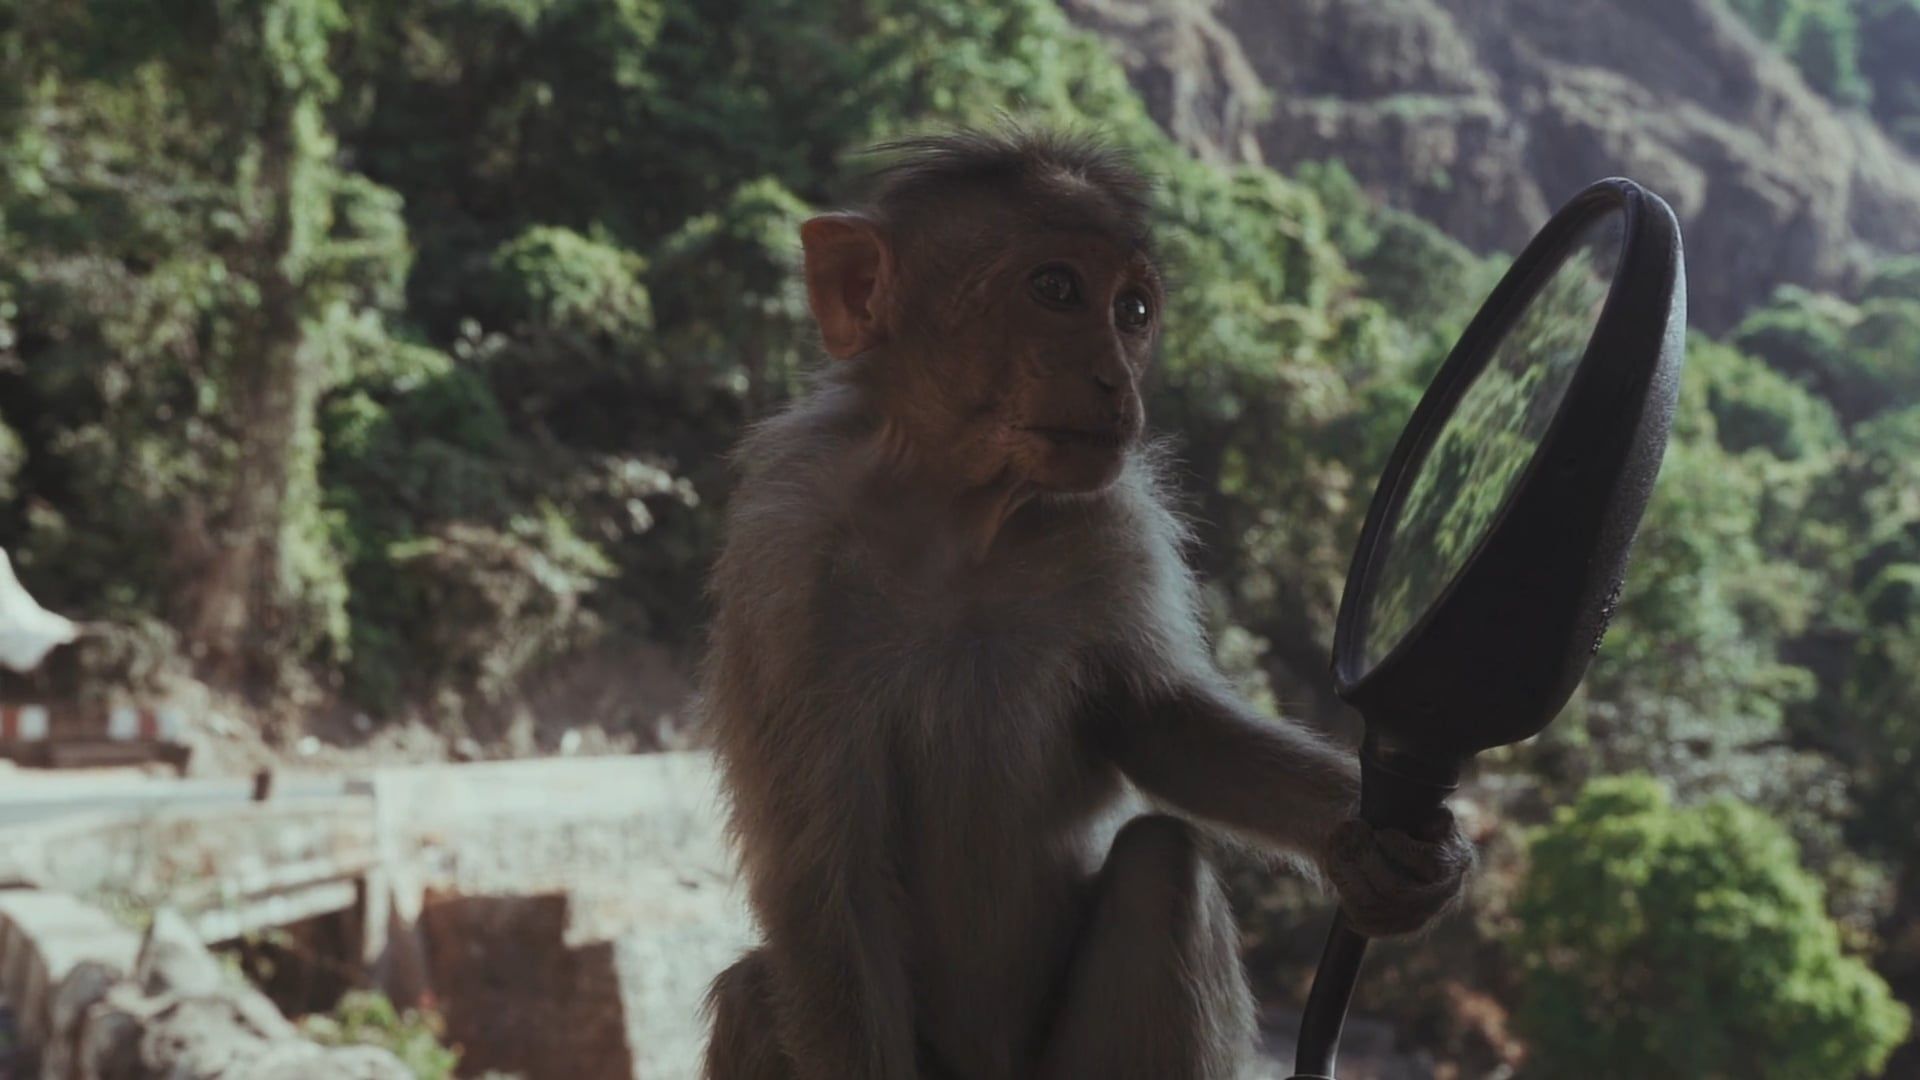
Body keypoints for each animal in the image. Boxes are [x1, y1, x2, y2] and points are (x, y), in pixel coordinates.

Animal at [699, 127, 1472, 1080]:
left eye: (1132, 311)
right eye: (1057, 290)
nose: (1116, 381)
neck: (958, 520)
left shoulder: (1116, 529)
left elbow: (1154, 717)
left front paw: (1374, 850)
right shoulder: (784, 563)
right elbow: (822, 878)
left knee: (1162, 866)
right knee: (759, 990)